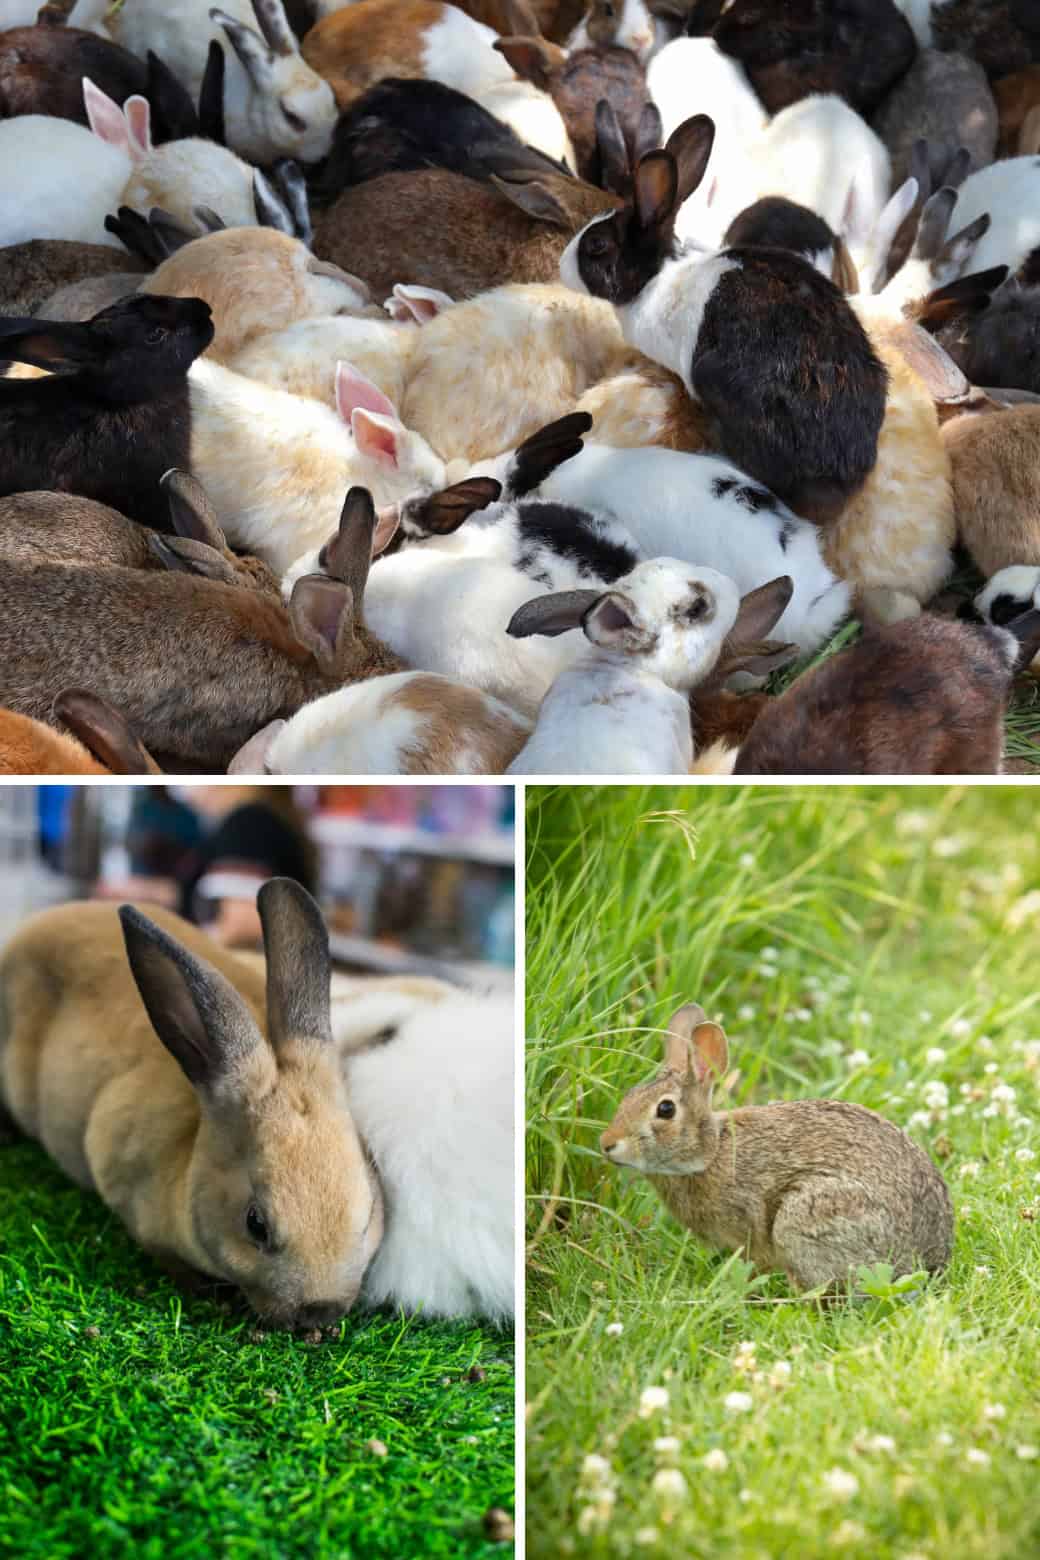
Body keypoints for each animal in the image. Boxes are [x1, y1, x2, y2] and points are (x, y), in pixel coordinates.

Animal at [601, 1002, 953, 1288]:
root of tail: (932, 1257)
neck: (709, 1152)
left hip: (806, 1218)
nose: (607, 1144)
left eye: (665, 1109)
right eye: (628, 1095)